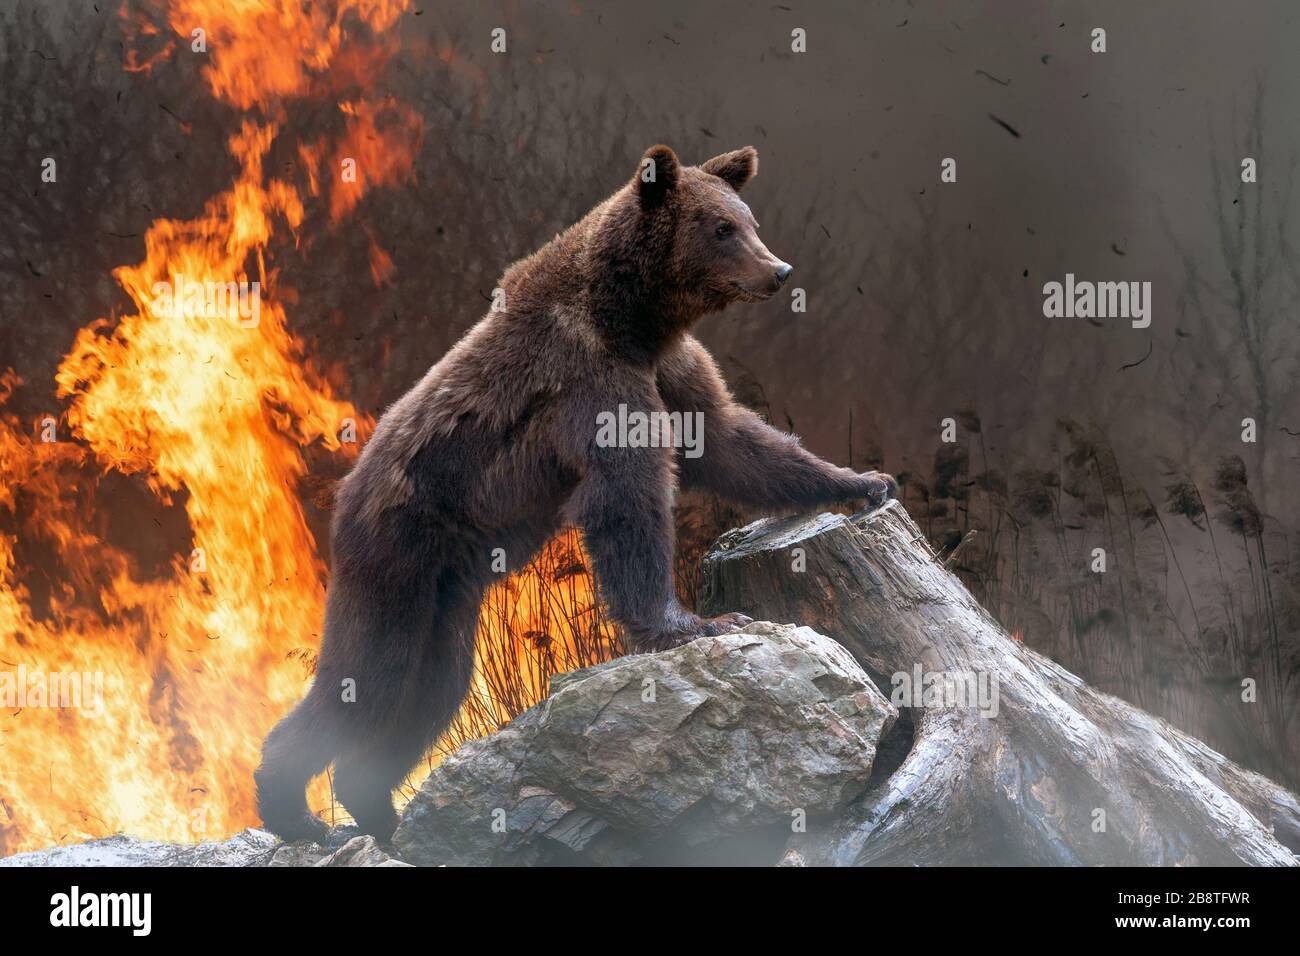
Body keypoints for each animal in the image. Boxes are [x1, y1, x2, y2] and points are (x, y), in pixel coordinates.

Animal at [255, 144, 896, 843]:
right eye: (723, 228)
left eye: (748, 220)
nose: (778, 270)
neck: (632, 319)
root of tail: (345, 497)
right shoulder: (588, 376)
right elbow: (627, 494)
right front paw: (697, 622)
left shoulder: (669, 369)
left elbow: (730, 440)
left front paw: (864, 482)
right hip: (397, 552)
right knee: (369, 677)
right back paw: (294, 809)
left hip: (448, 593)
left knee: (434, 689)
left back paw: (374, 806)